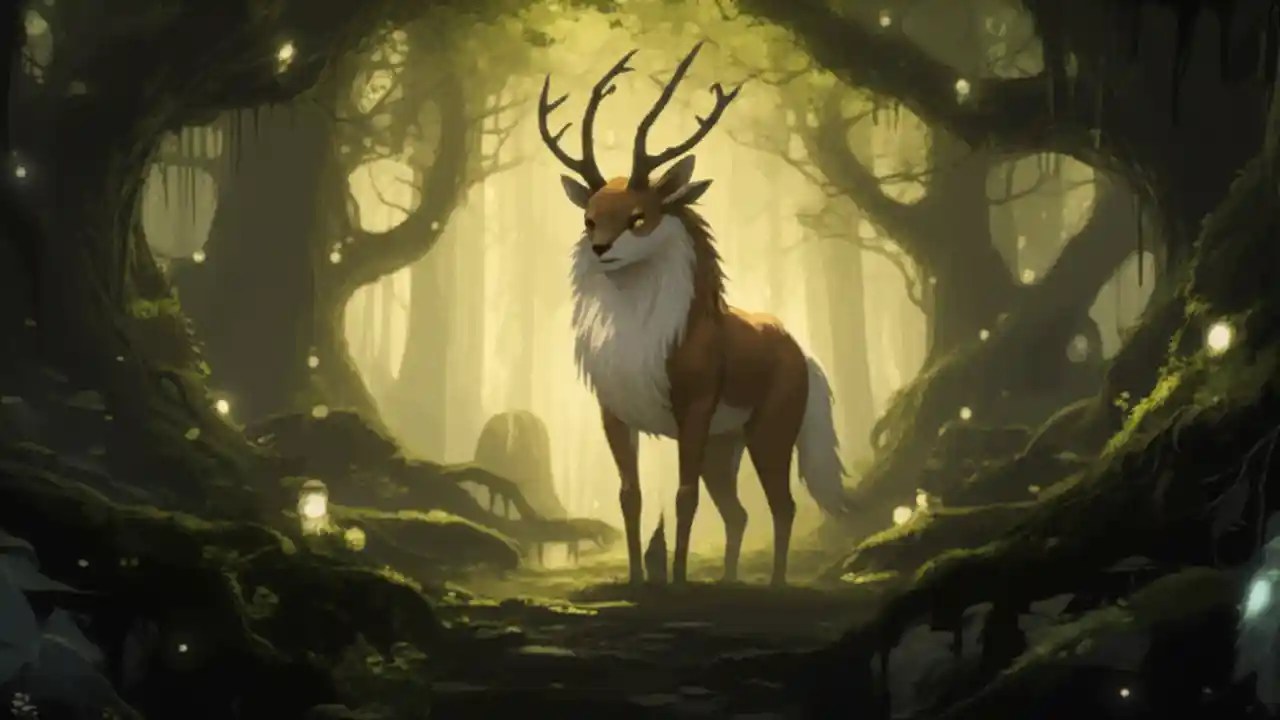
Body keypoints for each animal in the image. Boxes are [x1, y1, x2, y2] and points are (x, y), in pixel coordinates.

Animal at [538, 42, 849, 588]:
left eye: (639, 217)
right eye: (589, 219)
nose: (599, 249)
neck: (645, 338)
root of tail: (803, 356)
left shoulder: (695, 409)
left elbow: (684, 498)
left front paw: (678, 579)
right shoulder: (615, 413)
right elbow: (630, 496)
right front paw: (638, 580)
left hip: (767, 433)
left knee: (782, 506)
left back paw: (773, 584)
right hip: (725, 447)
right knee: (739, 512)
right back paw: (727, 581)